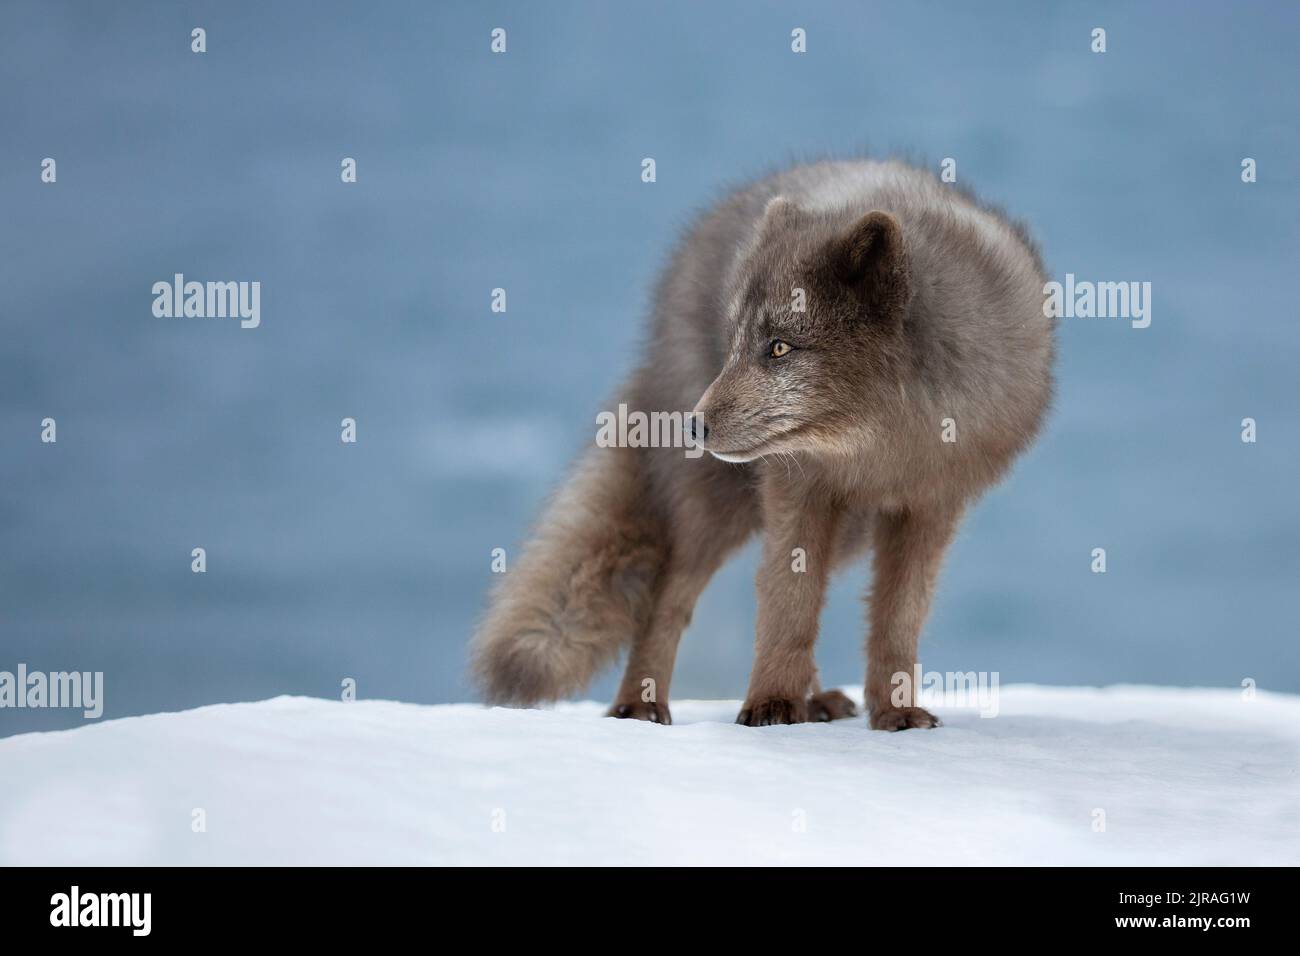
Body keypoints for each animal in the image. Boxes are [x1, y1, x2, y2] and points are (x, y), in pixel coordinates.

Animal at [472, 158, 1054, 730]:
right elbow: (788, 605)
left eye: (779, 347)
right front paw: (771, 704)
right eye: (735, 345)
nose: (691, 427)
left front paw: (894, 711)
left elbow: (896, 618)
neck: (878, 447)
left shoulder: (930, 506)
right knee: (669, 595)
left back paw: (815, 702)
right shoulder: (796, 488)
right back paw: (641, 706)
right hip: (717, 507)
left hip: (847, 532)